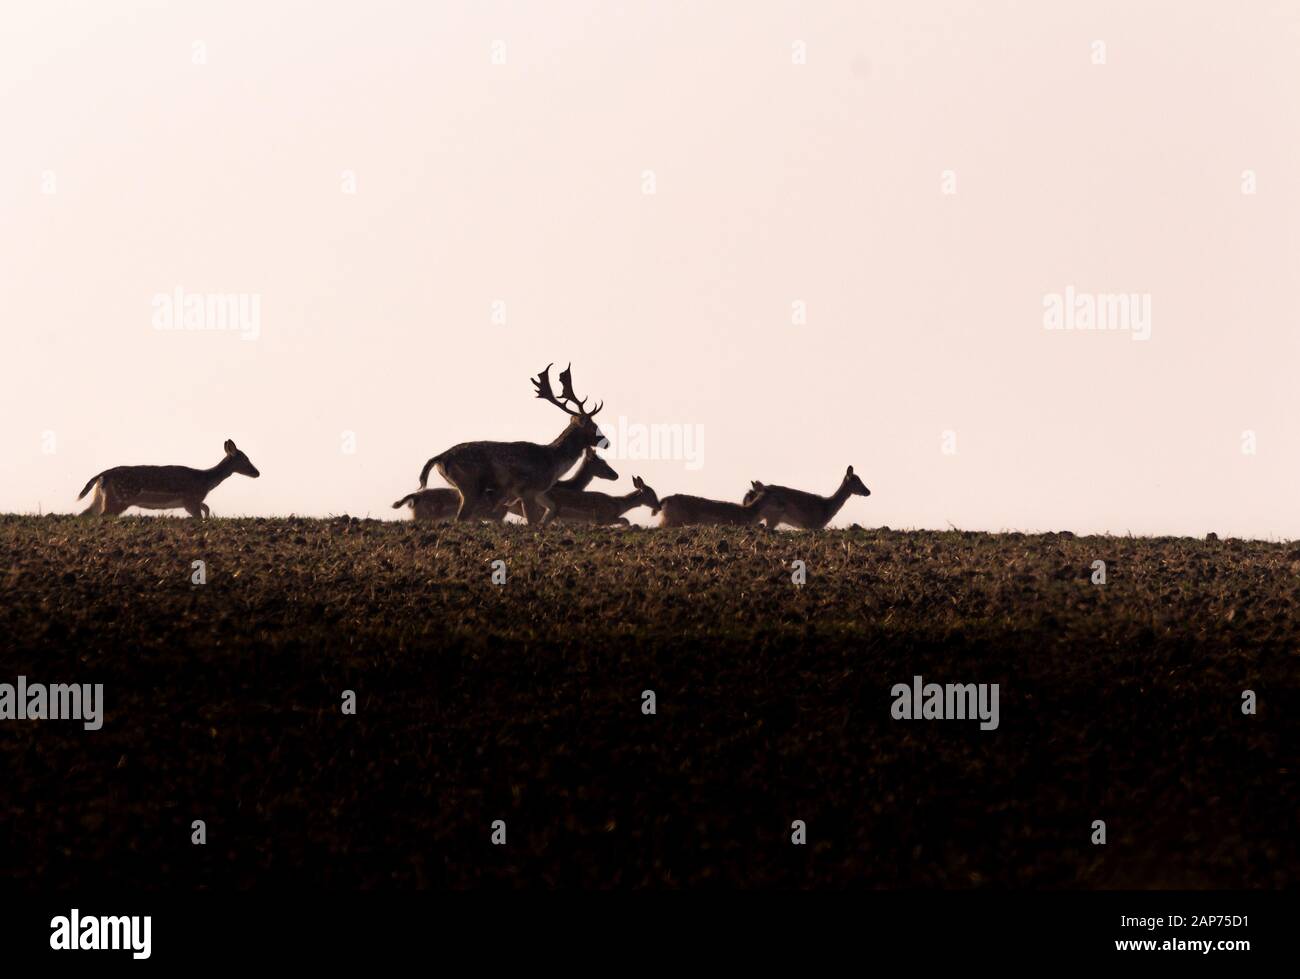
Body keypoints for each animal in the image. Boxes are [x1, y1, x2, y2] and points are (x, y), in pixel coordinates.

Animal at [77, 439, 260, 518]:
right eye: (245, 459)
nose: (257, 473)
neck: (206, 481)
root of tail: (102, 475)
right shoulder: (191, 500)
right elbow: (199, 516)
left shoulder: (192, 501)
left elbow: (206, 507)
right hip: (119, 499)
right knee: (100, 517)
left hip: (102, 497)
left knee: (85, 515)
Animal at [416, 364, 606, 525]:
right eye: (593, 425)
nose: (607, 442)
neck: (554, 463)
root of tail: (440, 457)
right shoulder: (527, 490)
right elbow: (532, 522)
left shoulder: (539, 491)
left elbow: (552, 510)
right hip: (469, 484)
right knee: (460, 518)